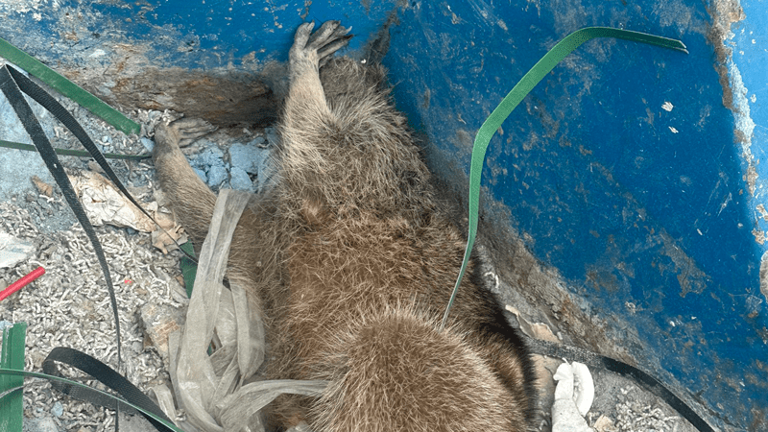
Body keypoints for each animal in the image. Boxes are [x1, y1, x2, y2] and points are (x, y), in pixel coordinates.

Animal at [153, 20, 538, 432]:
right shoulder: (268, 245)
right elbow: (215, 222)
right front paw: (169, 154)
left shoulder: (350, 168)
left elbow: (309, 126)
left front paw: (303, 74)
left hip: (447, 385)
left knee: (390, 337)